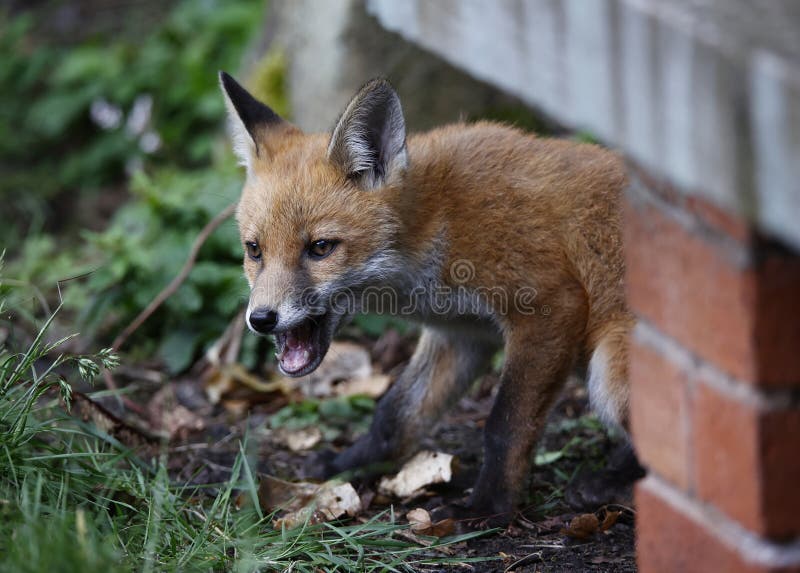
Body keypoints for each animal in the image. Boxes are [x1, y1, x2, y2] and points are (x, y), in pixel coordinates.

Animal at [219, 71, 633, 526]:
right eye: (254, 250)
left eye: (320, 248)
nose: (261, 319)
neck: (438, 224)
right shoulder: (464, 333)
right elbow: (394, 415)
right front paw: (347, 465)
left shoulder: (550, 306)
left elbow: (505, 424)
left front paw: (488, 508)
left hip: (610, 368)